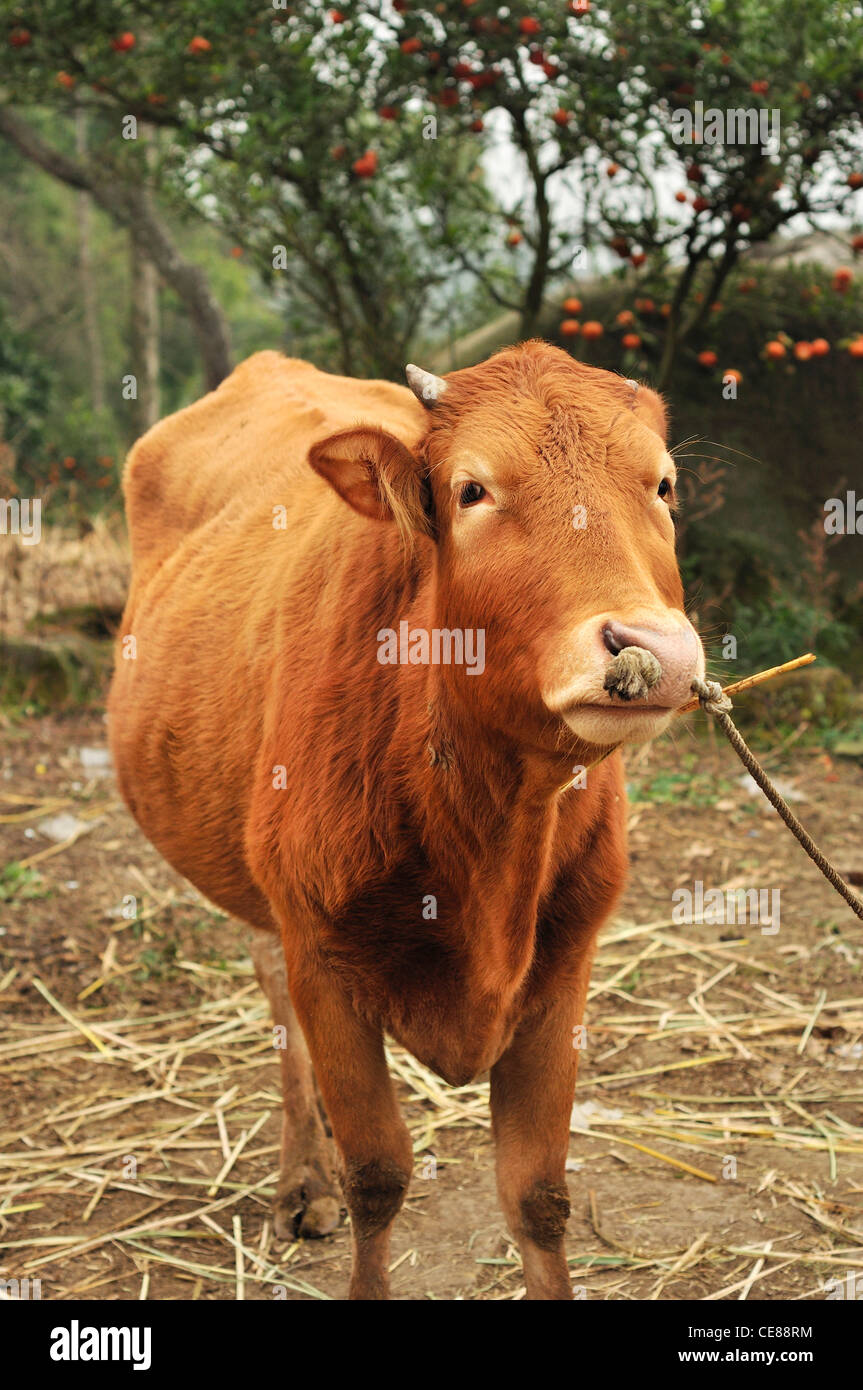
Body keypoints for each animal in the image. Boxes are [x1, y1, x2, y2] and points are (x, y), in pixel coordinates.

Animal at [108, 340, 704, 1300]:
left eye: (661, 485)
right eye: (471, 490)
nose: (652, 650)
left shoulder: (565, 967)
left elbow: (537, 1193)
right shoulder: (325, 963)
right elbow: (378, 1176)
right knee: (277, 1002)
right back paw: (304, 1179)